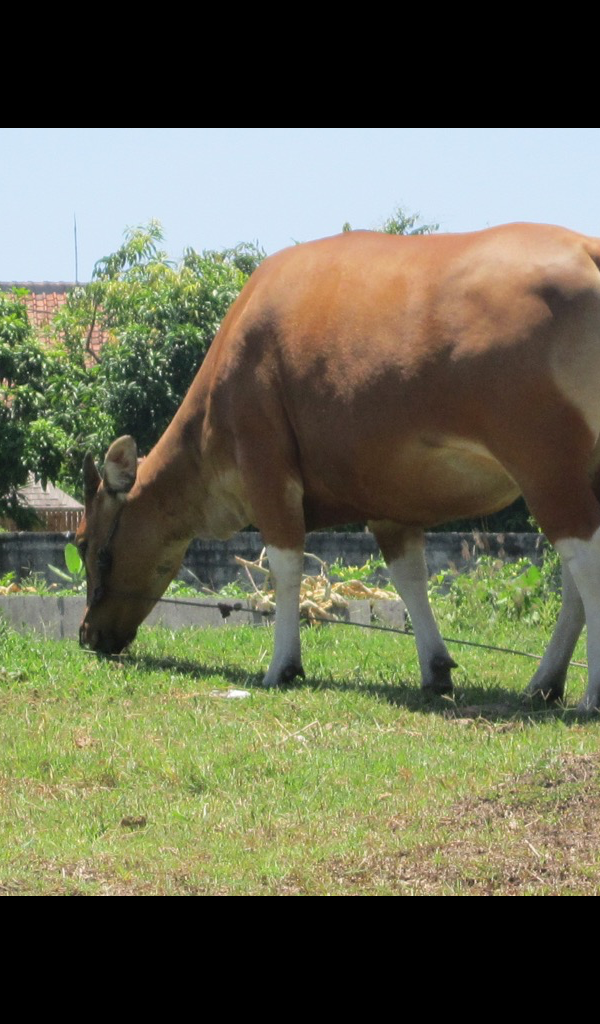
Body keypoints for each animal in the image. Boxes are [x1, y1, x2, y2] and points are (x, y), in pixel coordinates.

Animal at [77, 223, 600, 713]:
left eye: (86, 544)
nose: (86, 634)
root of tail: (585, 247)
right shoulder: (389, 502)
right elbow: (409, 578)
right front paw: (434, 669)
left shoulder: (266, 469)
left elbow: (286, 566)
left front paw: (282, 666)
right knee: (572, 580)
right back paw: (544, 683)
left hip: (546, 464)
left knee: (584, 563)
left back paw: (590, 694)